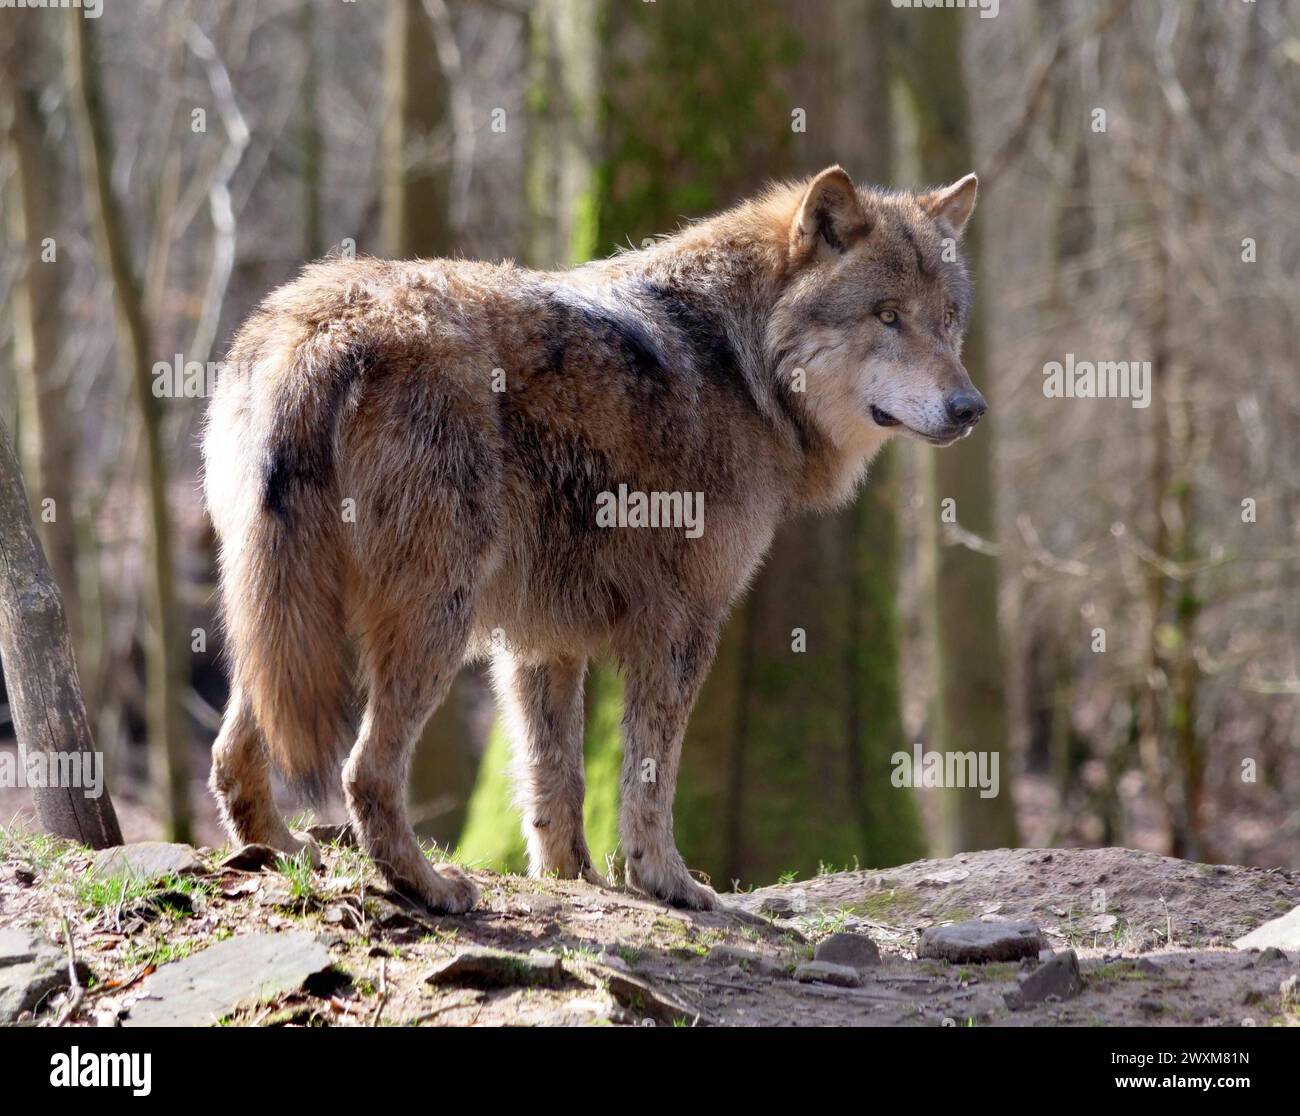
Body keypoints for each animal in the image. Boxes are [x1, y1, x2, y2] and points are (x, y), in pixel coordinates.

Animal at [203, 165, 985, 912]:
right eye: (888, 317)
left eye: (947, 321)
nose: (970, 407)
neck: (743, 363)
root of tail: (324, 323)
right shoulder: (681, 626)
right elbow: (649, 777)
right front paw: (666, 881)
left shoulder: (542, 638)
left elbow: (557, 779)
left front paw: (571, 877)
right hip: (434, 619)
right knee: (363, 769)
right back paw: (428, 886)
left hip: (280, 615)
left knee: (232, 750)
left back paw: (281, 854)